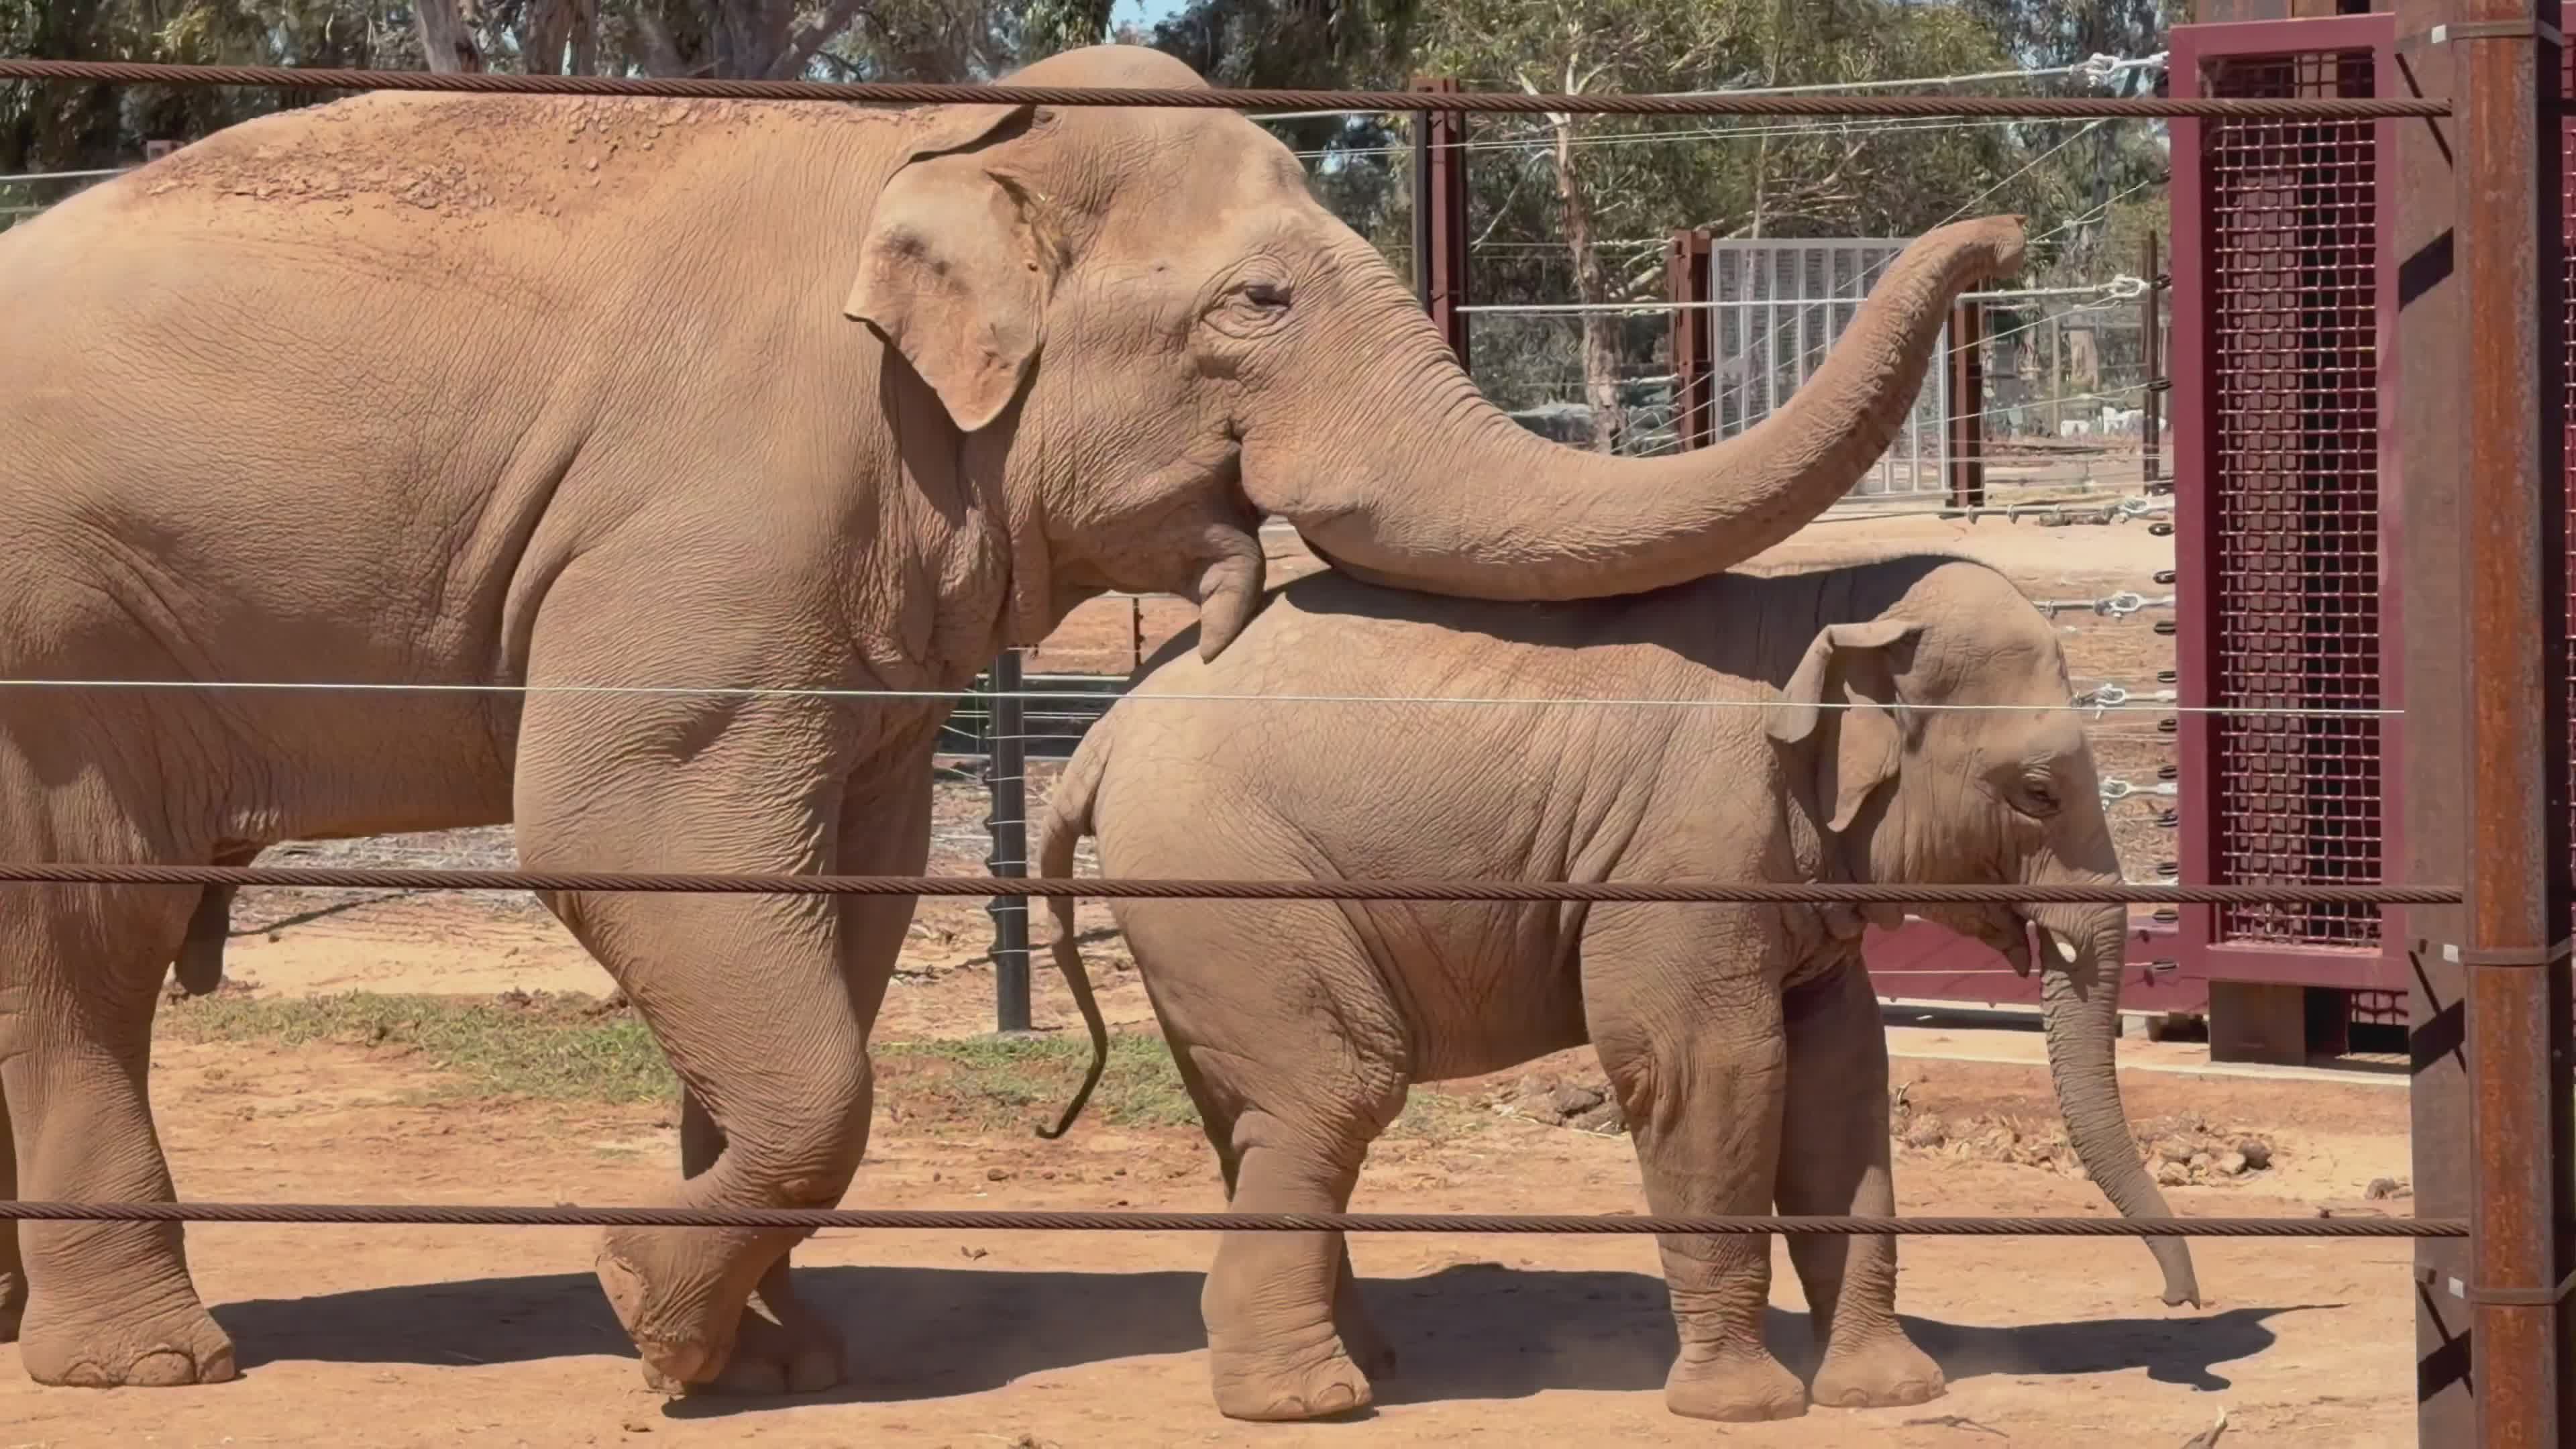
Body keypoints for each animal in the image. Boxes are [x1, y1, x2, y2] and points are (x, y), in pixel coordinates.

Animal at [0, 36, 2022, 1393]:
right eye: (1258, 302)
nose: (1996, 230)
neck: (929, 134)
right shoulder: (726, 498)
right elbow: (633, 834)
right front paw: (650, 1321)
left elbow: (846, 878)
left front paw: (762, 1357)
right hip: (65, 638)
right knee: (85, 926)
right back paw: (154, 1364)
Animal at [1034, 554, 2200, 1424]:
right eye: (2038, 791)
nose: (2181, 1304)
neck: (1829, 609)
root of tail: (1100, 737)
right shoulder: (1683, 856)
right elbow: (1710, 1073)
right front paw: (1747, 1408)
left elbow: (1841, 1085)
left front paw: (1893, 1394)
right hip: (1234, 883)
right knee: (1333, 1095)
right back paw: (1311, 1401)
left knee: (1257, 1117)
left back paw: (1364, 1364)